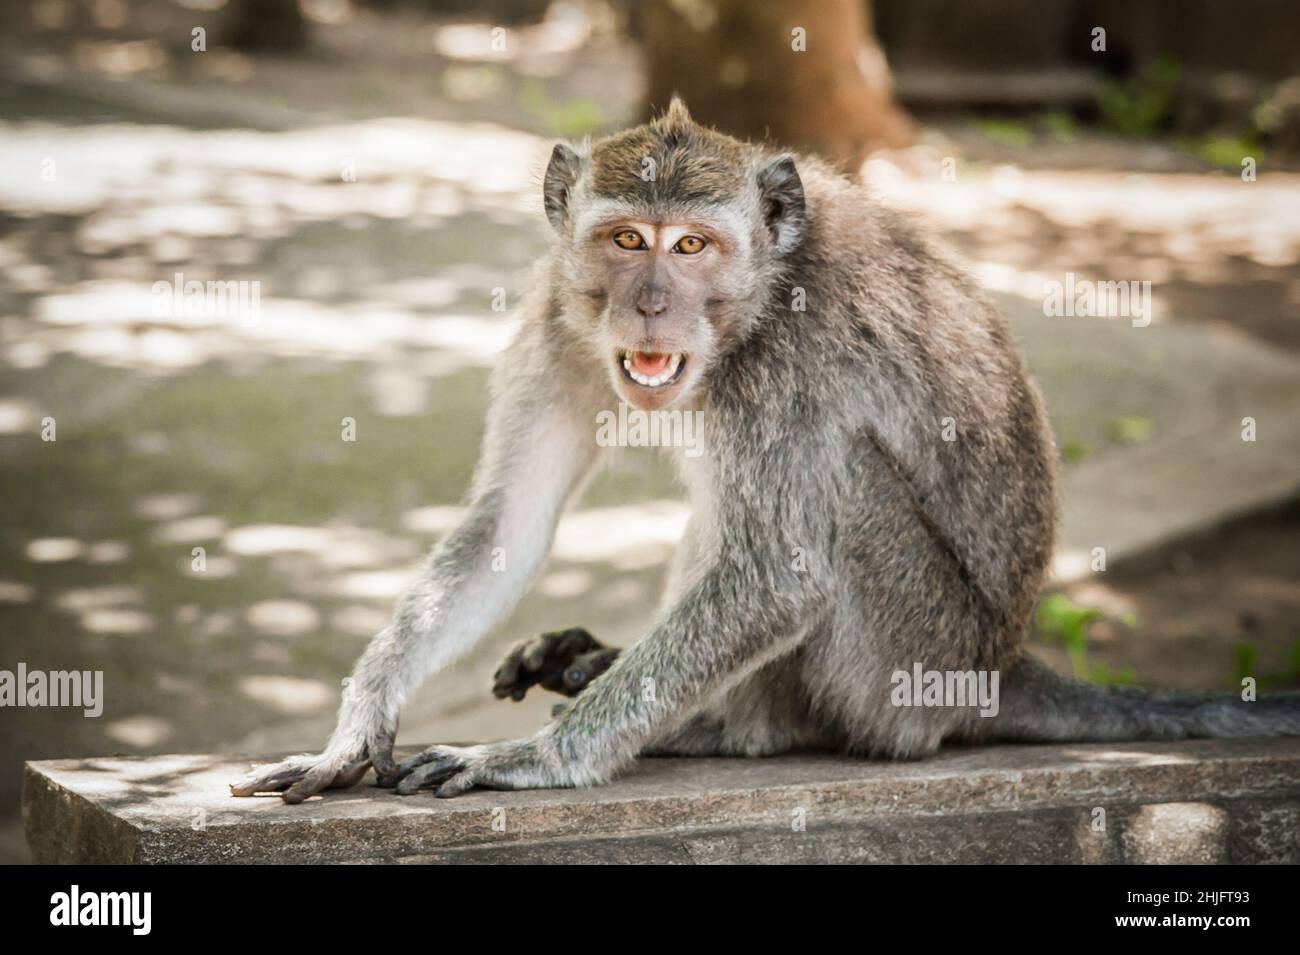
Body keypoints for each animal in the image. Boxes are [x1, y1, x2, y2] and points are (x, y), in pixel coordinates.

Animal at [231, 98, 1300, 804]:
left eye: (692, 247)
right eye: (627, 239)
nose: (650, 304)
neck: (750, 308)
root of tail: (1000, 665)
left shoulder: (791, 367)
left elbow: (781, 578)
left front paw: (540, 757)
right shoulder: (556, 320)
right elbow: (509, 523)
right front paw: (357, 724)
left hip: (914, 666)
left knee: (846, 492)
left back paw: (722, 727)